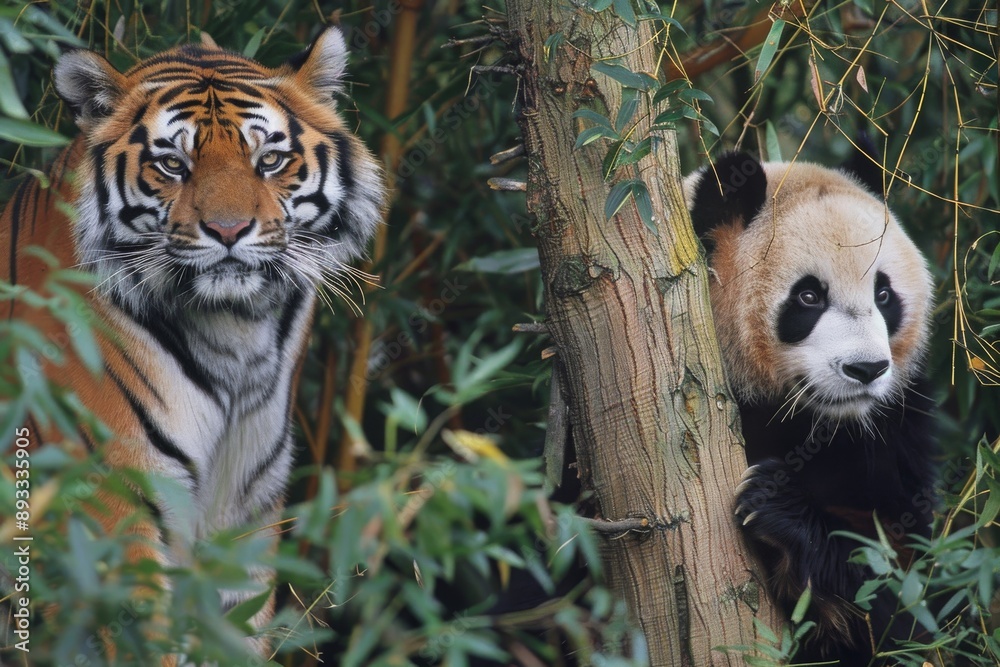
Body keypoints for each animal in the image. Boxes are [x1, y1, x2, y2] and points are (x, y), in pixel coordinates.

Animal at [0, 27, 384, 655]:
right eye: (172, 165)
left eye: (269, 159)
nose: (229, 232)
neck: (236, 332)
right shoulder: (114, 499)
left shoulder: (246, 502)